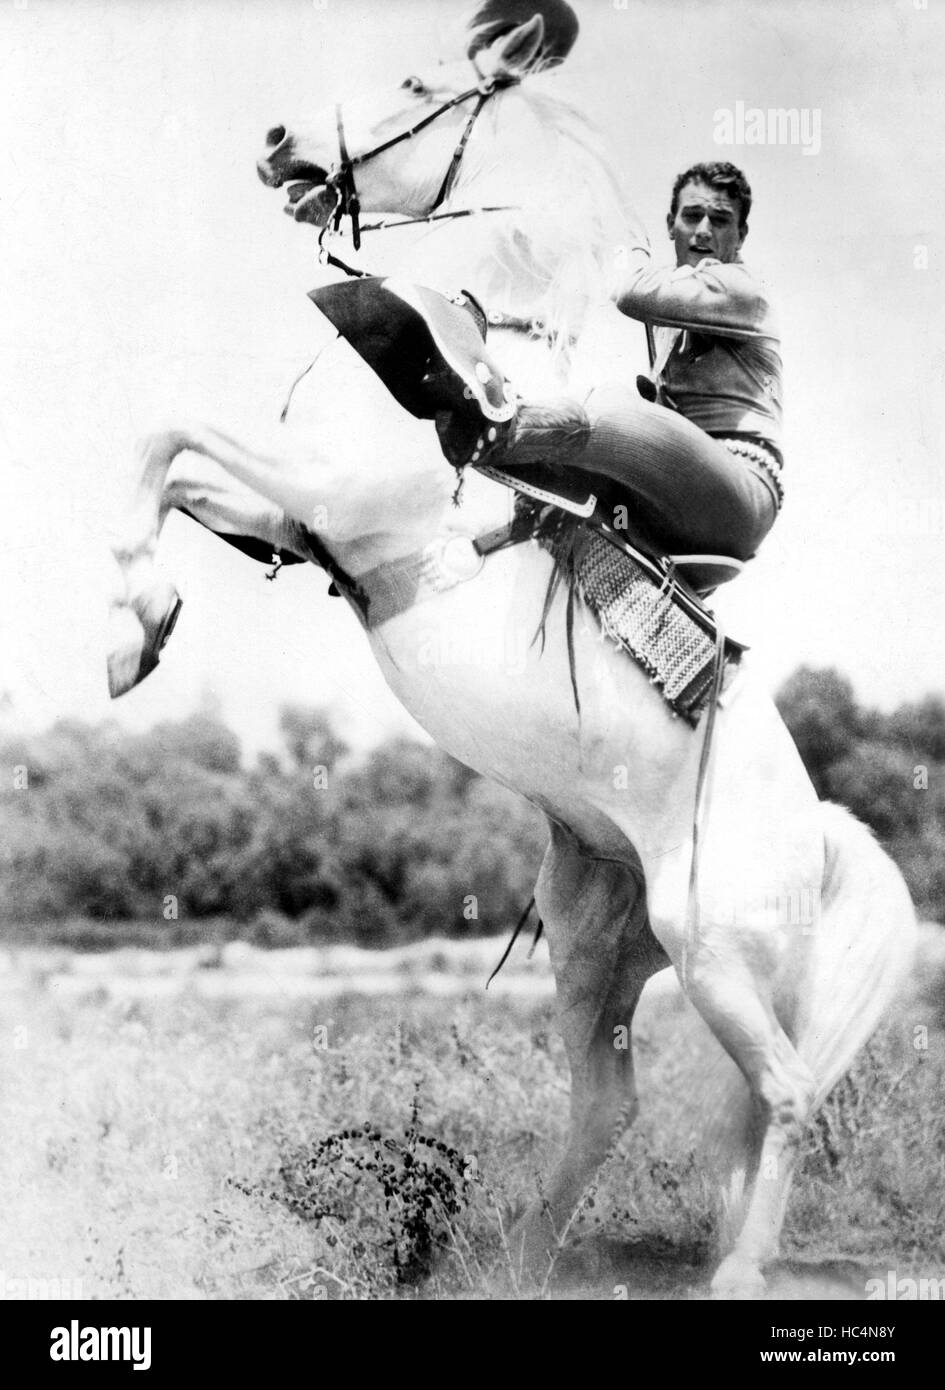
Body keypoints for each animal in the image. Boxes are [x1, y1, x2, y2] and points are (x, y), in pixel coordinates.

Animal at [105, 11, 916, 1297]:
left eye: (415, 81)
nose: (279, 142)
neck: (463, 338)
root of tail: (822, 833)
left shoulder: (335, 497)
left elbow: (168, 431)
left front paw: (132, 623)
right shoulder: (299, 518)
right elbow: (176, 464)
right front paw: (142, 624)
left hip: (720, 957)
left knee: (783, 1096)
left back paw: (732, 1272)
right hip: (597, 952)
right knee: (610, 1104)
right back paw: (517, 1256)